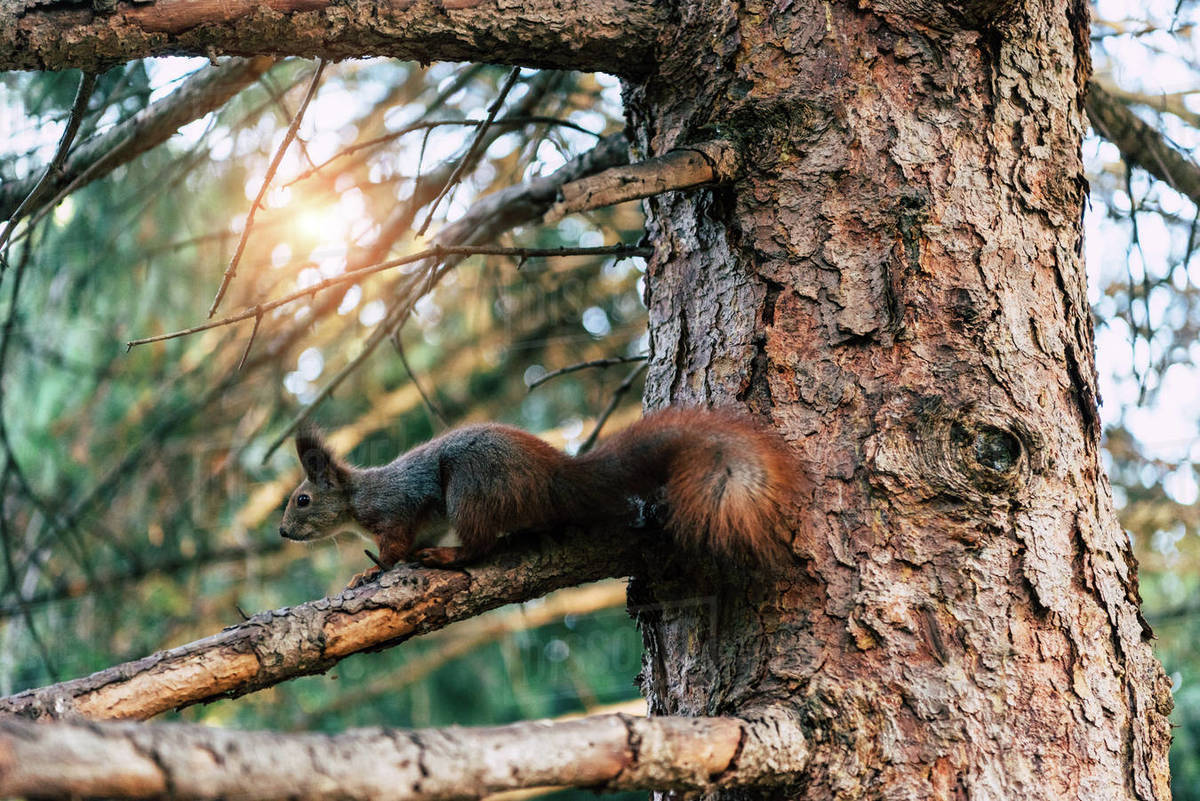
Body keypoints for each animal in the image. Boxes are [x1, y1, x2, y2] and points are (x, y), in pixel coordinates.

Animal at [279, 407, 794, 583]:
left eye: (302, 500)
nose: (282, 533)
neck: (355, 498)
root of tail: (557, 476)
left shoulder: (394, 512)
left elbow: (393, 549)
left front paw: (368, 574)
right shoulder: (425, 521)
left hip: (472, 486)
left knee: (481, 545)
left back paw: (446, 558)